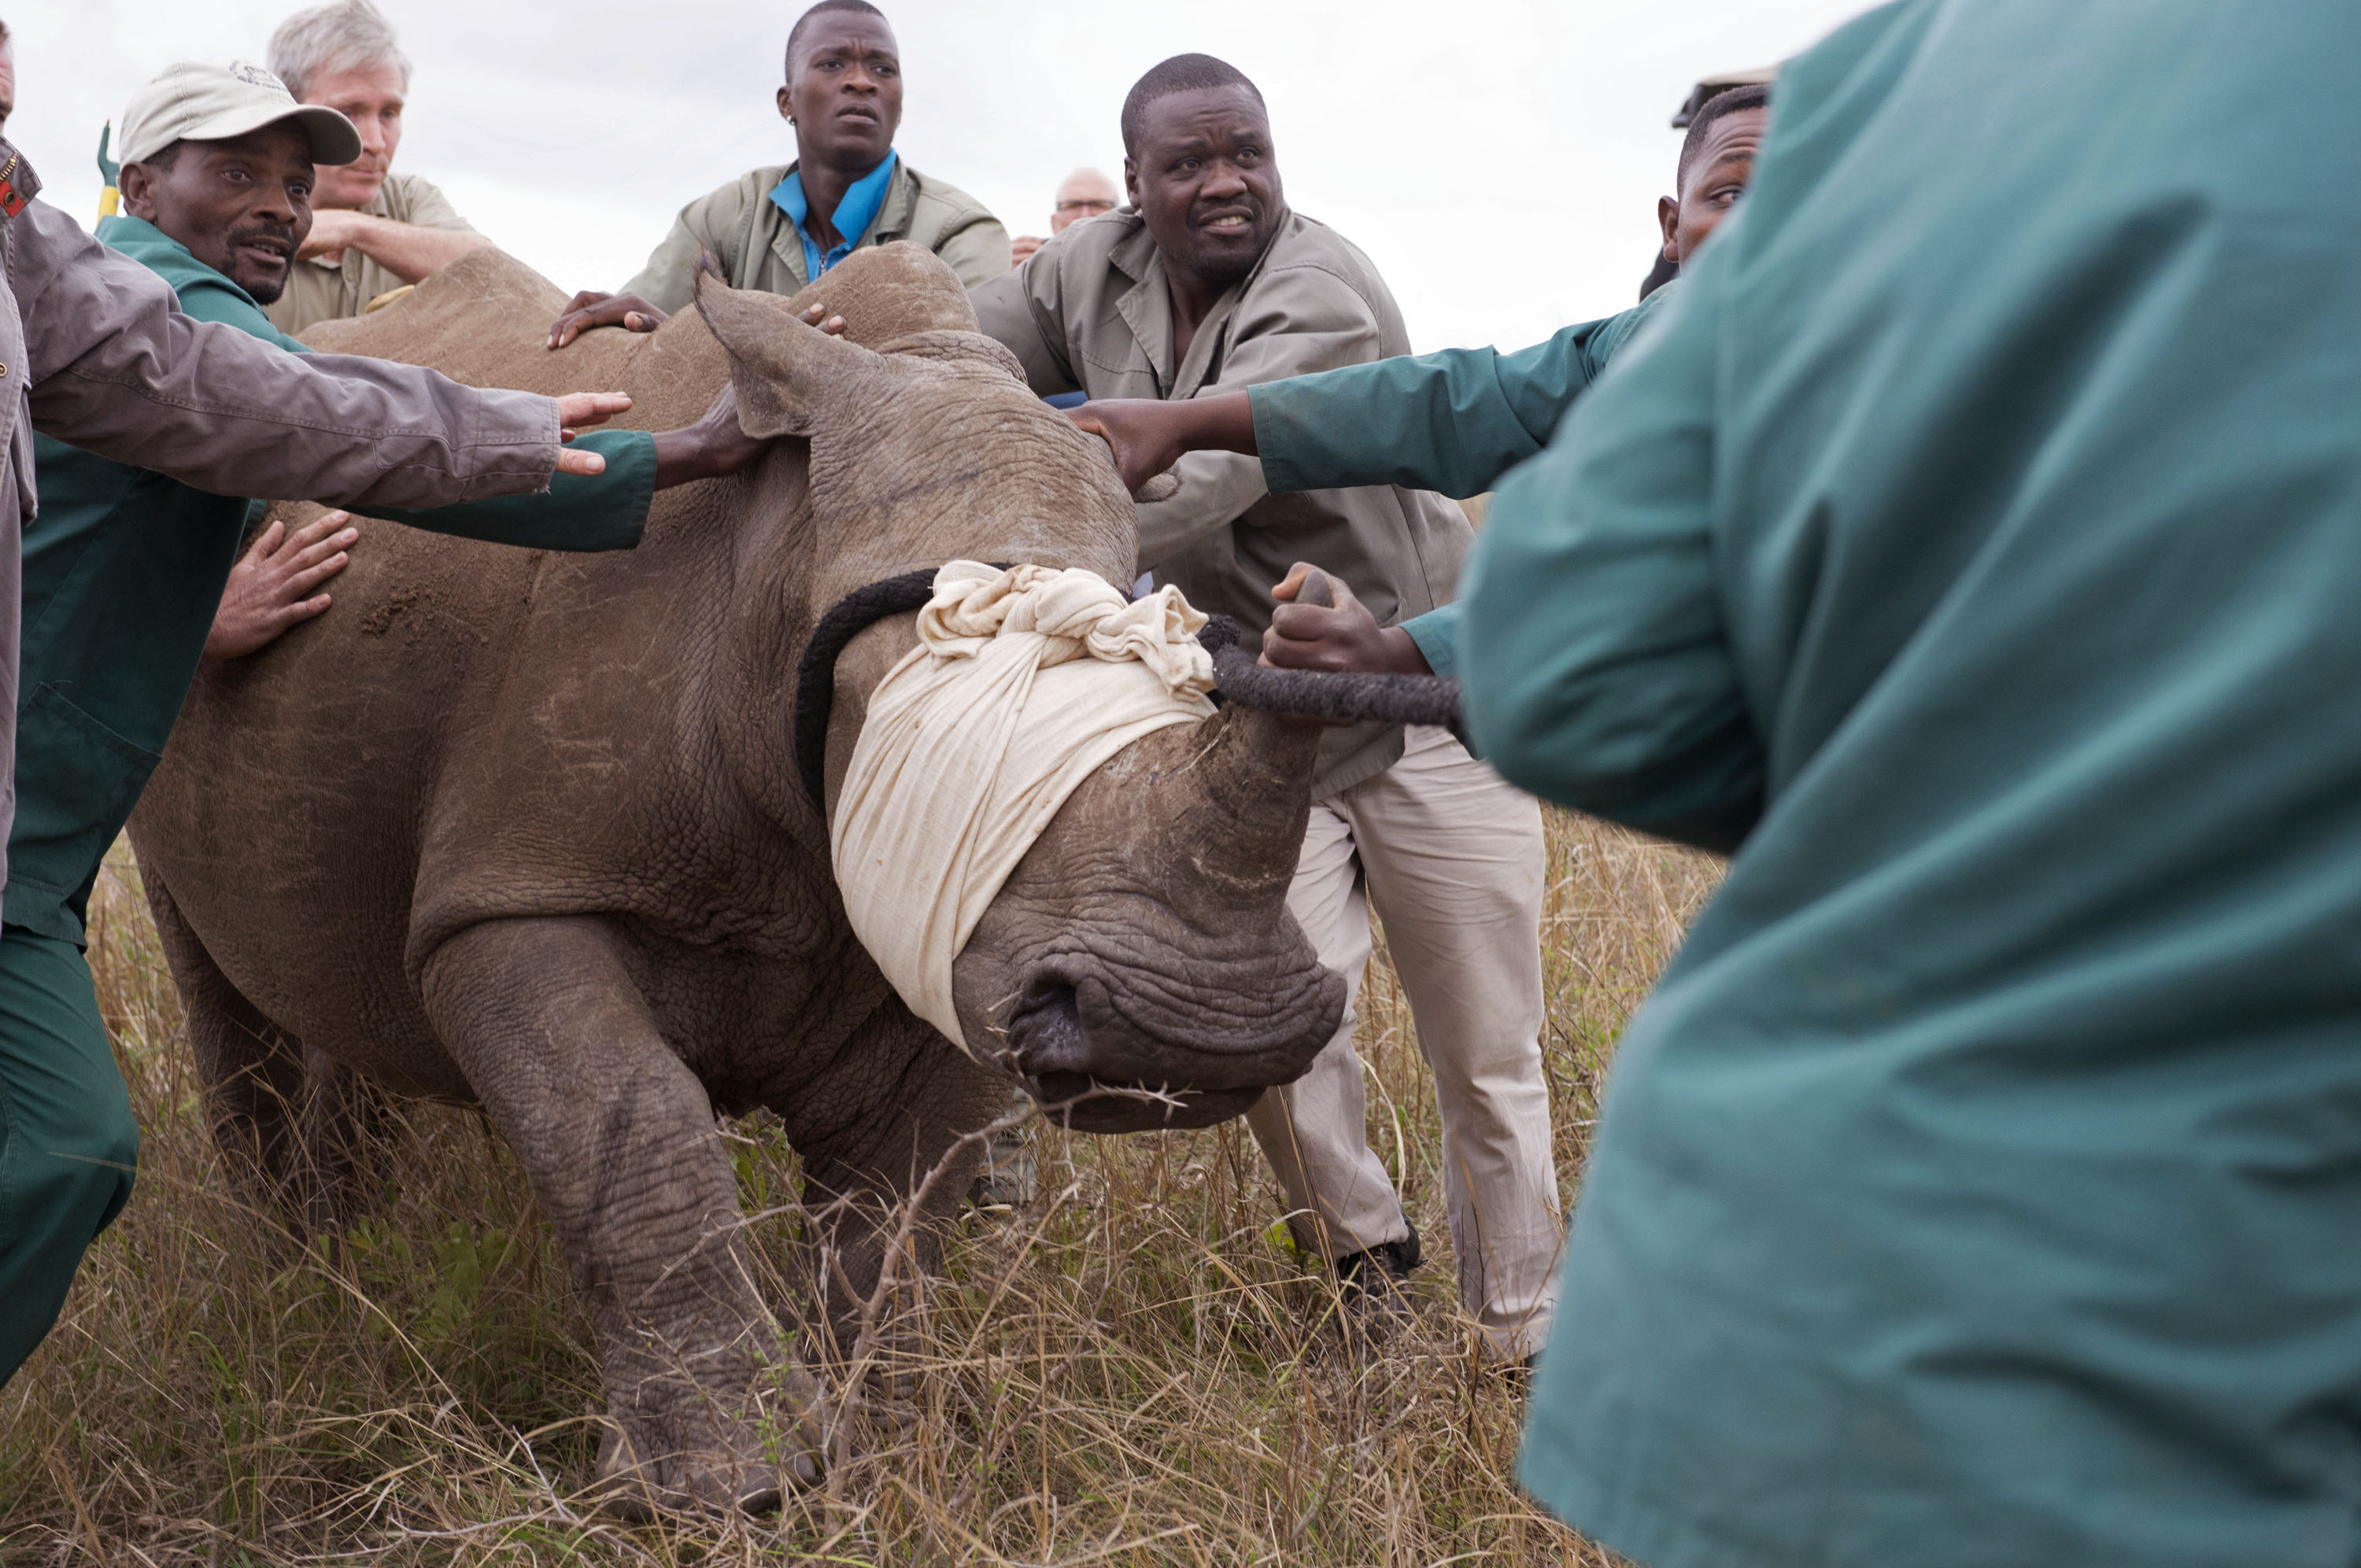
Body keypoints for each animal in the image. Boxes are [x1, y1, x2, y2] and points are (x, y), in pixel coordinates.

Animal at [125, 242, 1343, 1513]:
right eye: (900, 702)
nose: (1204, 1034)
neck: (779, 567)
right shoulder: (519, 893)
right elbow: (630, 1132)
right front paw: (722, 1491)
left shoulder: (957, 938)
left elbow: (898, 1215)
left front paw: (891, 1463)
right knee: (222, 990)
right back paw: (299, 1296)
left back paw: (351, 1265)